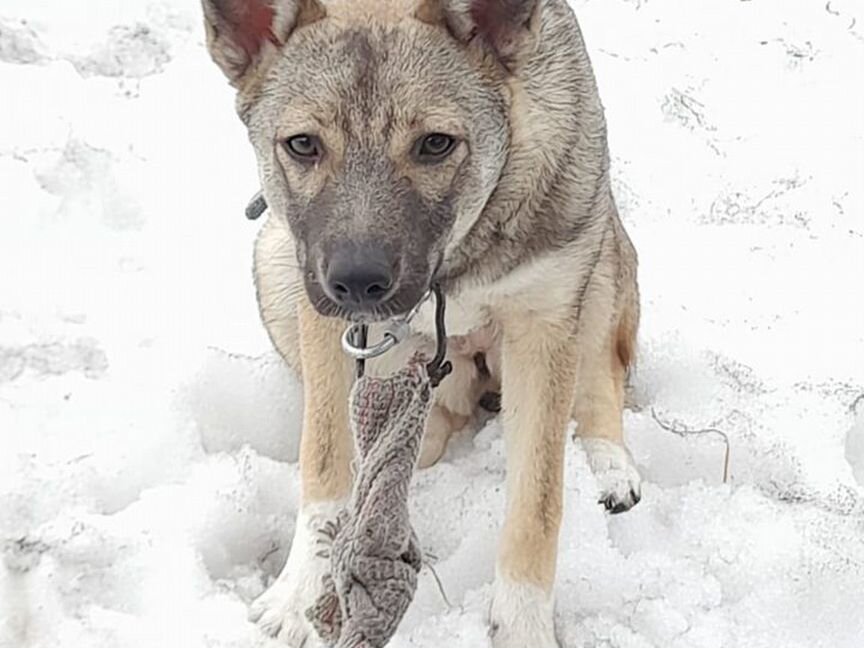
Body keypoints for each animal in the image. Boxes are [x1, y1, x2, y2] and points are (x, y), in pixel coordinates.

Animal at [199, 1, 636, 644]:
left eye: (435, 144)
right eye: (302, 144)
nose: (358, 282)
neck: (455, 260)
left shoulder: (546, 315)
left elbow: (537, 504)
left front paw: (523, 623)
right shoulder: (318, 305)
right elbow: (323, 455)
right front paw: (302, 589)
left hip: (598, 254)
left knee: (603, 373)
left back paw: (606, 461)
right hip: (275, 261)